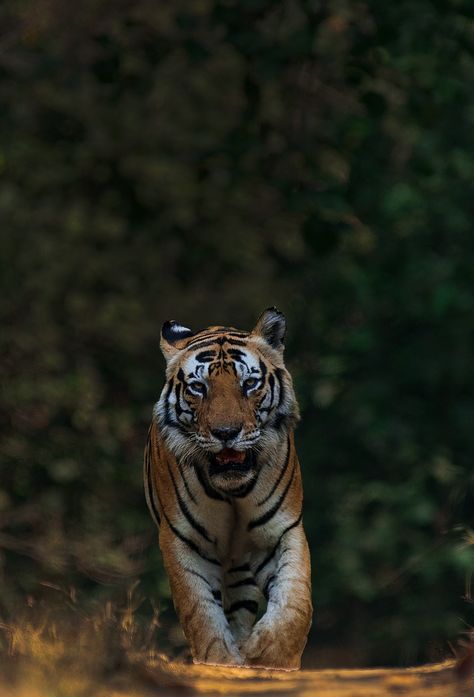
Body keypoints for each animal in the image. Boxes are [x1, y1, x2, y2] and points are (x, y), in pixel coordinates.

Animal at [146, 308, 312, 668]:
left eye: (249, 383)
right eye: (198, 387)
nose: (226, 433)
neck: (233, 491)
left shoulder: (283, 530)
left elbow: (295, 601)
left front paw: (271, 656)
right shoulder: (183, 539)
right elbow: (200, 612)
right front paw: (220, 660)